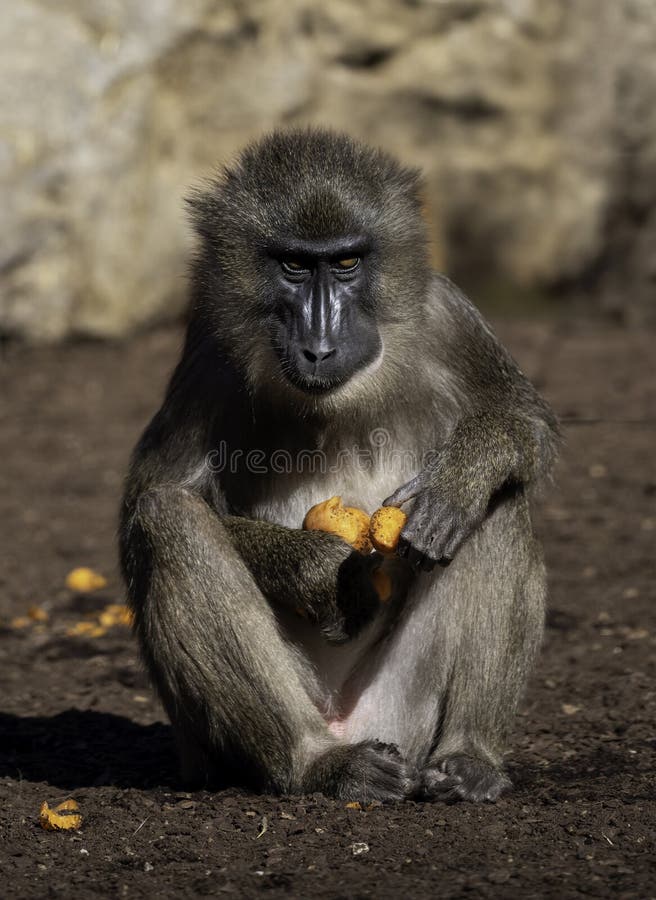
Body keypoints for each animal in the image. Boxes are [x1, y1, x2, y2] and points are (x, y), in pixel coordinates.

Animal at [119, 129, 559, 803]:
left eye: (347, 263)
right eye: (295, 266)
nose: (320, 346)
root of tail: (347, 721)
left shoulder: (447, 316)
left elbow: (524, 427)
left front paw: (460, 477)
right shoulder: (208, 352)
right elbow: (149, 500)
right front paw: (314, 567)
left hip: (403, 715)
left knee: (500, 505)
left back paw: (469, 757)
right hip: (230, 746)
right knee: (166, 519)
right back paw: (318, 762)